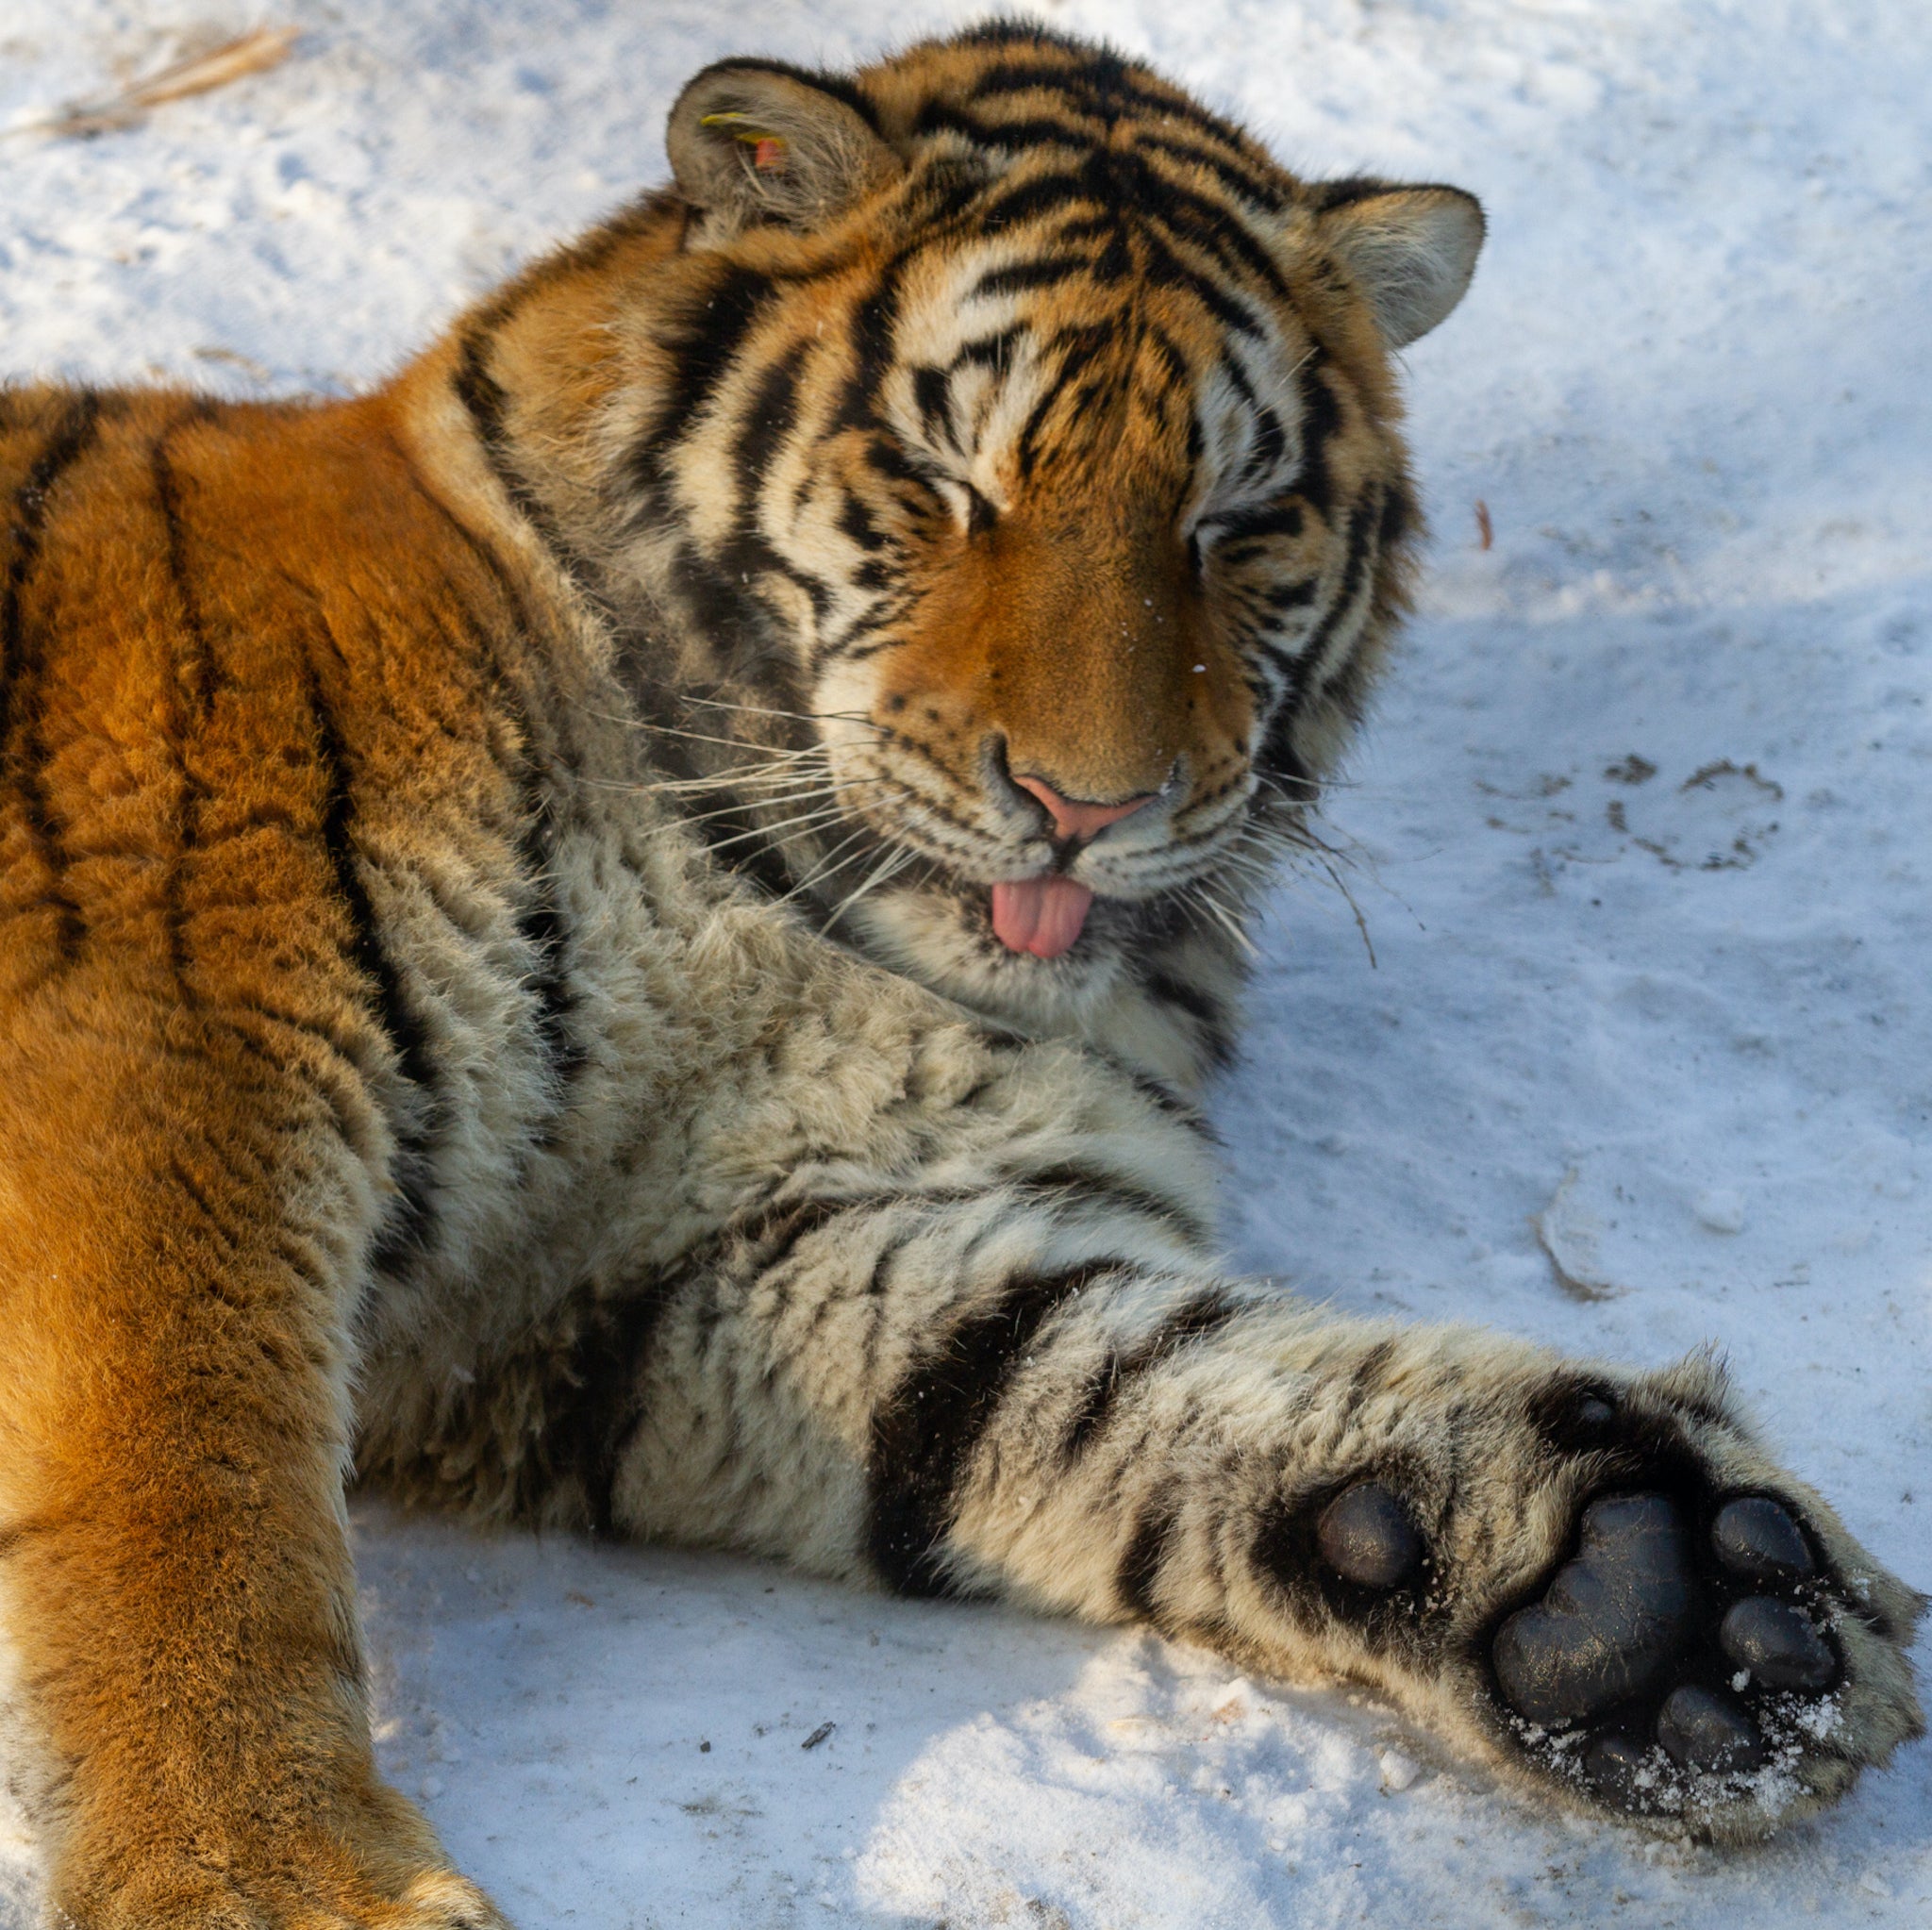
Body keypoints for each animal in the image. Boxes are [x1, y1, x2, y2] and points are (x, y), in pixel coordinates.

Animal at [0, 19, 1919, 1927]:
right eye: (946, 484)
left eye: (1236, 520)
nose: (1086, 806)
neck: (774, 888)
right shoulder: (182, 1036)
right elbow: (192, 1491)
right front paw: (267, 1882)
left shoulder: (717, 1262)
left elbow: (1104, 1379)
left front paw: (1648, 1599)